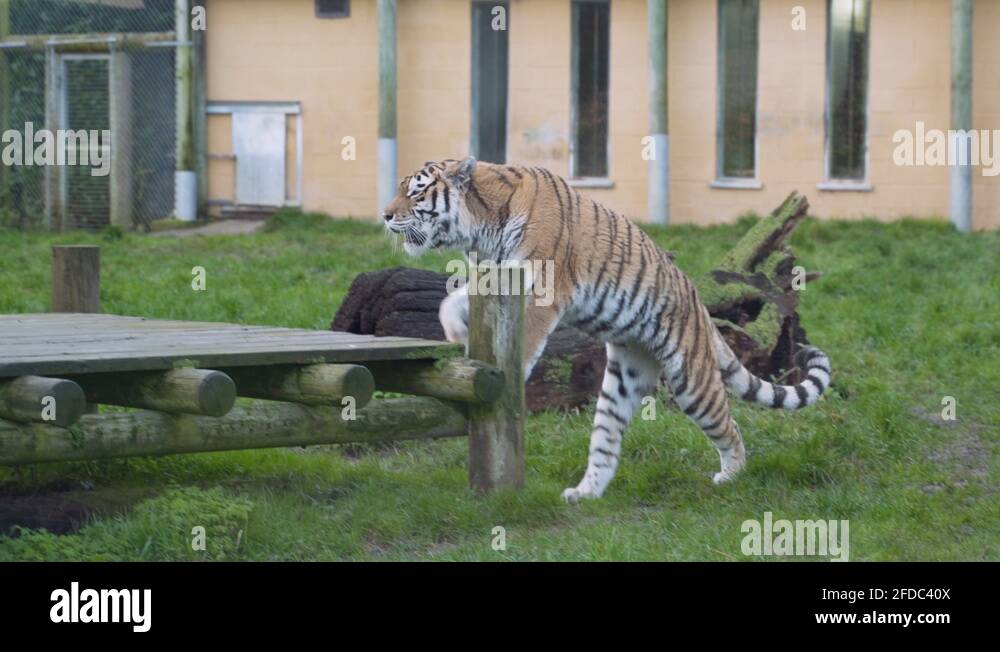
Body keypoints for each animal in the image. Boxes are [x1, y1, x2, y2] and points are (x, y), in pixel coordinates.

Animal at [382, 157, 832, 502]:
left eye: (416, 193)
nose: (385, 216)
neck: (481, 226)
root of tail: (702, 309)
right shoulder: (494, 276)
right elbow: (451, 300)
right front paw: (454, 328)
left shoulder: (544, 291)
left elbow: (526, 342)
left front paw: (508, 377)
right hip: (622, 380)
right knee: (605, 443)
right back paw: (584, 494)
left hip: (692, 381)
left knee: (731, 426)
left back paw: (731, 476)